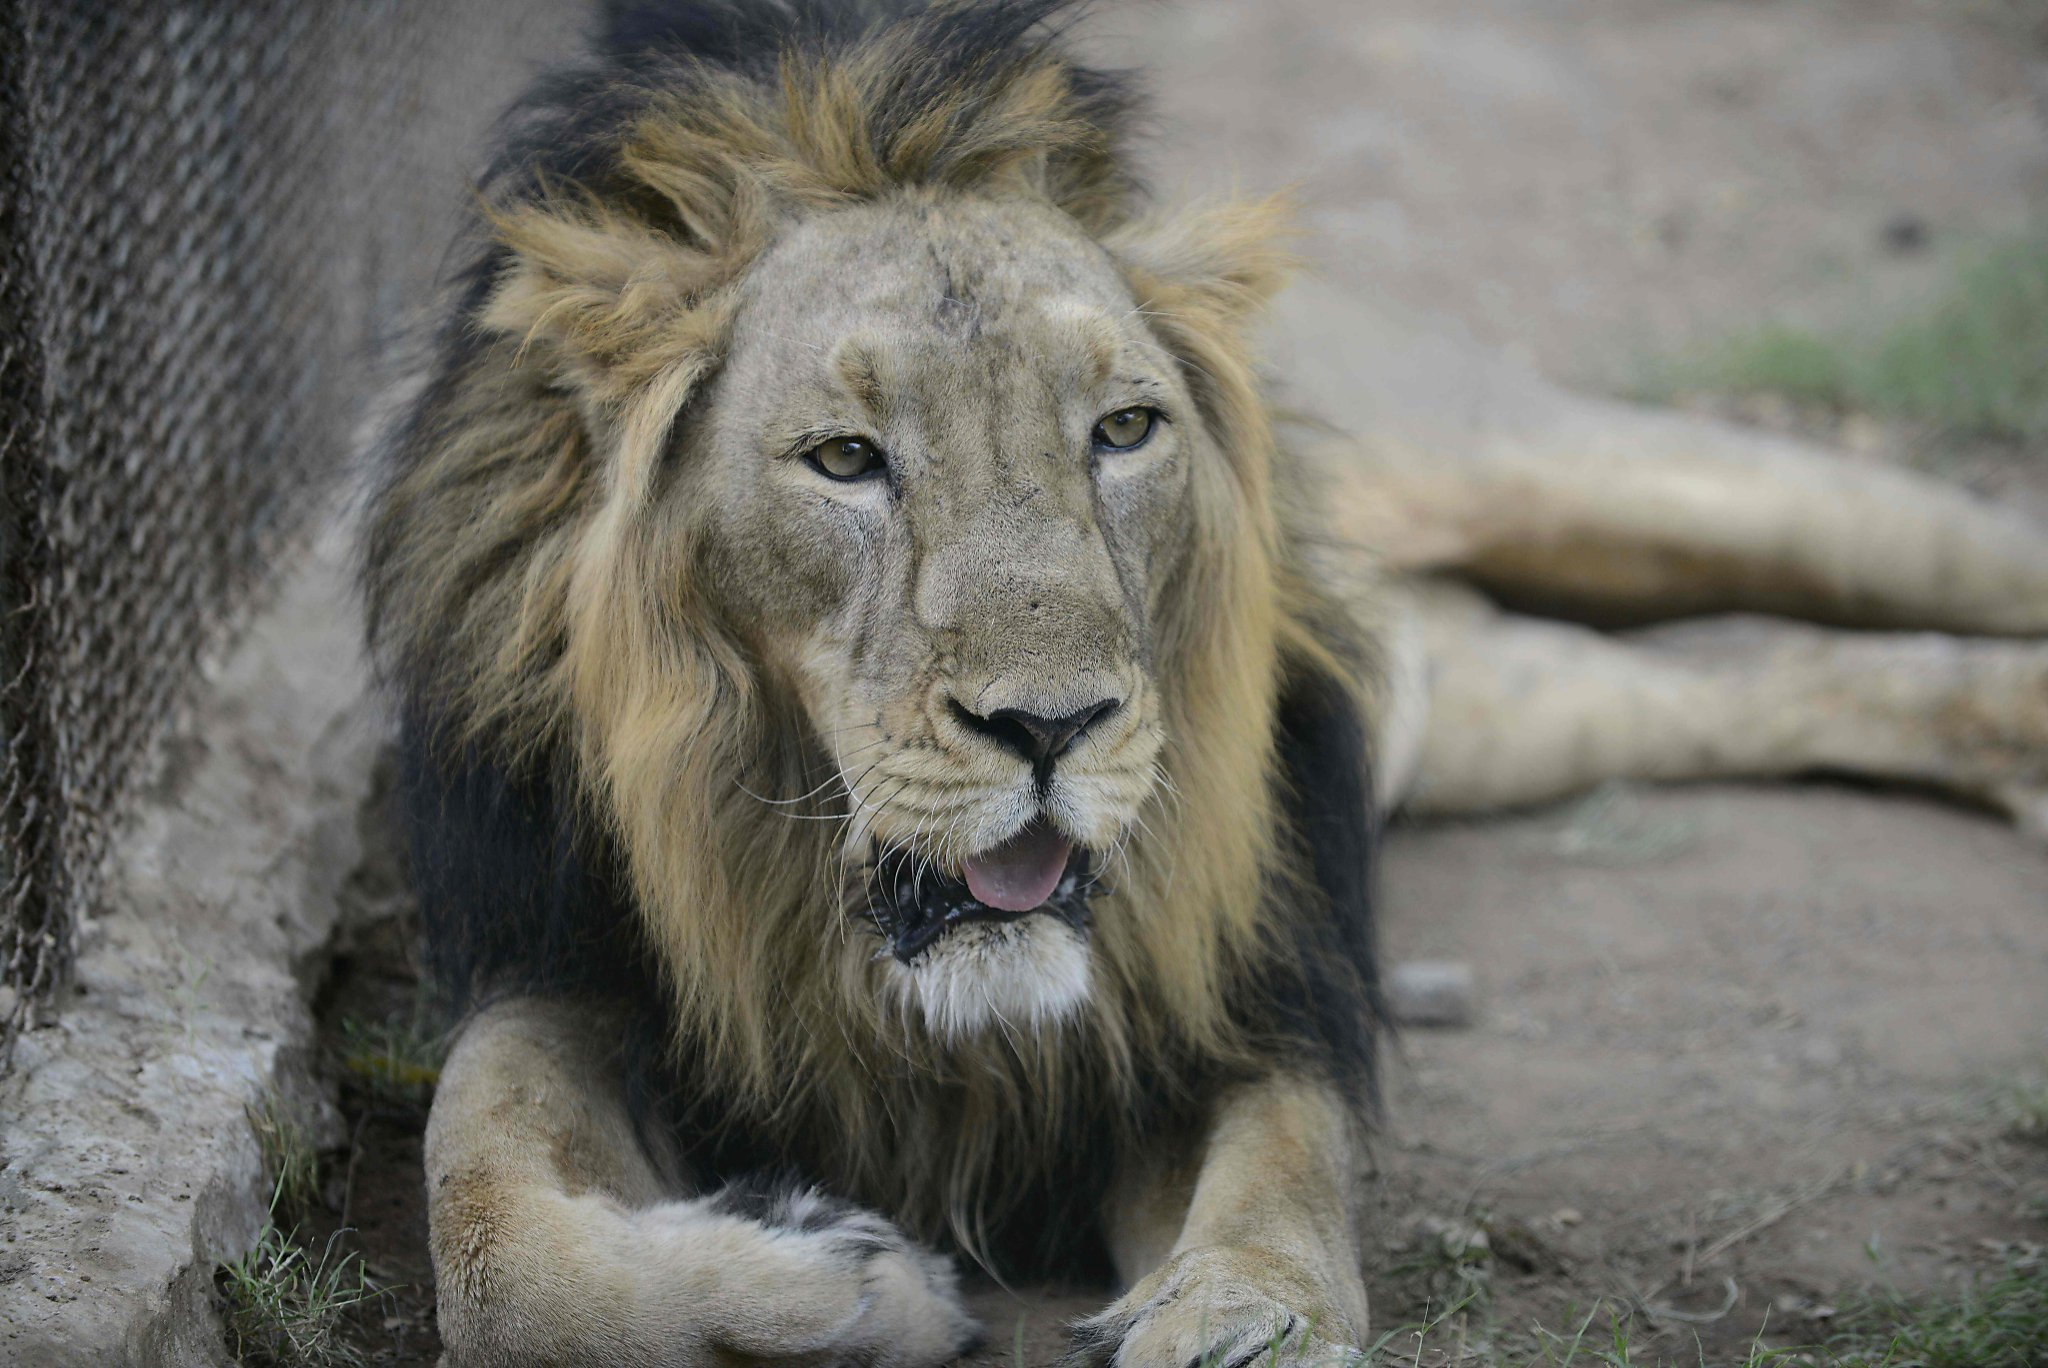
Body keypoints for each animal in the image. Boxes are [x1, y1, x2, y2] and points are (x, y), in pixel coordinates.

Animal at [360, 2, 2048, 1365]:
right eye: (844, 460)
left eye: (1122, 430)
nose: (1052, 729)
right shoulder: (569, 956)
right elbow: (485, 1216)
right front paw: (841, 1280)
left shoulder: (1240, 978)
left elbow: (1288, 1178)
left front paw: (1240, 1316)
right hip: (1504, 698)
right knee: (1773, 666)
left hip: (1607, 475)